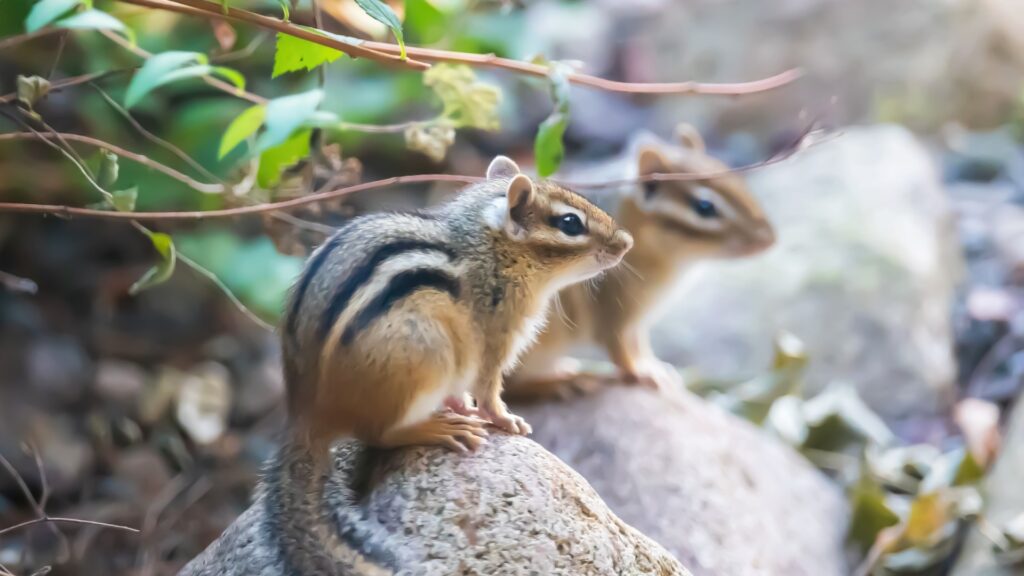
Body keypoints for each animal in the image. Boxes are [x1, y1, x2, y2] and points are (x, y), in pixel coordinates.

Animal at [245, 156, 633, 575]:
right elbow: (488, 389)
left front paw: (463, 405)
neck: (495, 251)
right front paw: (505, 419)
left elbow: (465, 391)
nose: (626, 243)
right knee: (380, 433)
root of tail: (307, 416)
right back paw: (435, 428)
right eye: (570, 223)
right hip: (427, 352)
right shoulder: (495, 337)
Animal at [506, 125, 776, 400]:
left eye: (730, 173)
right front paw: (642, 372)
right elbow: (621, 349)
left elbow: (640, 345)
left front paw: (654, 365)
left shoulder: (637, 322)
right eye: (704, 207)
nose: (769, 239)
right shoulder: (612, 309)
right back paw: (556, 384)